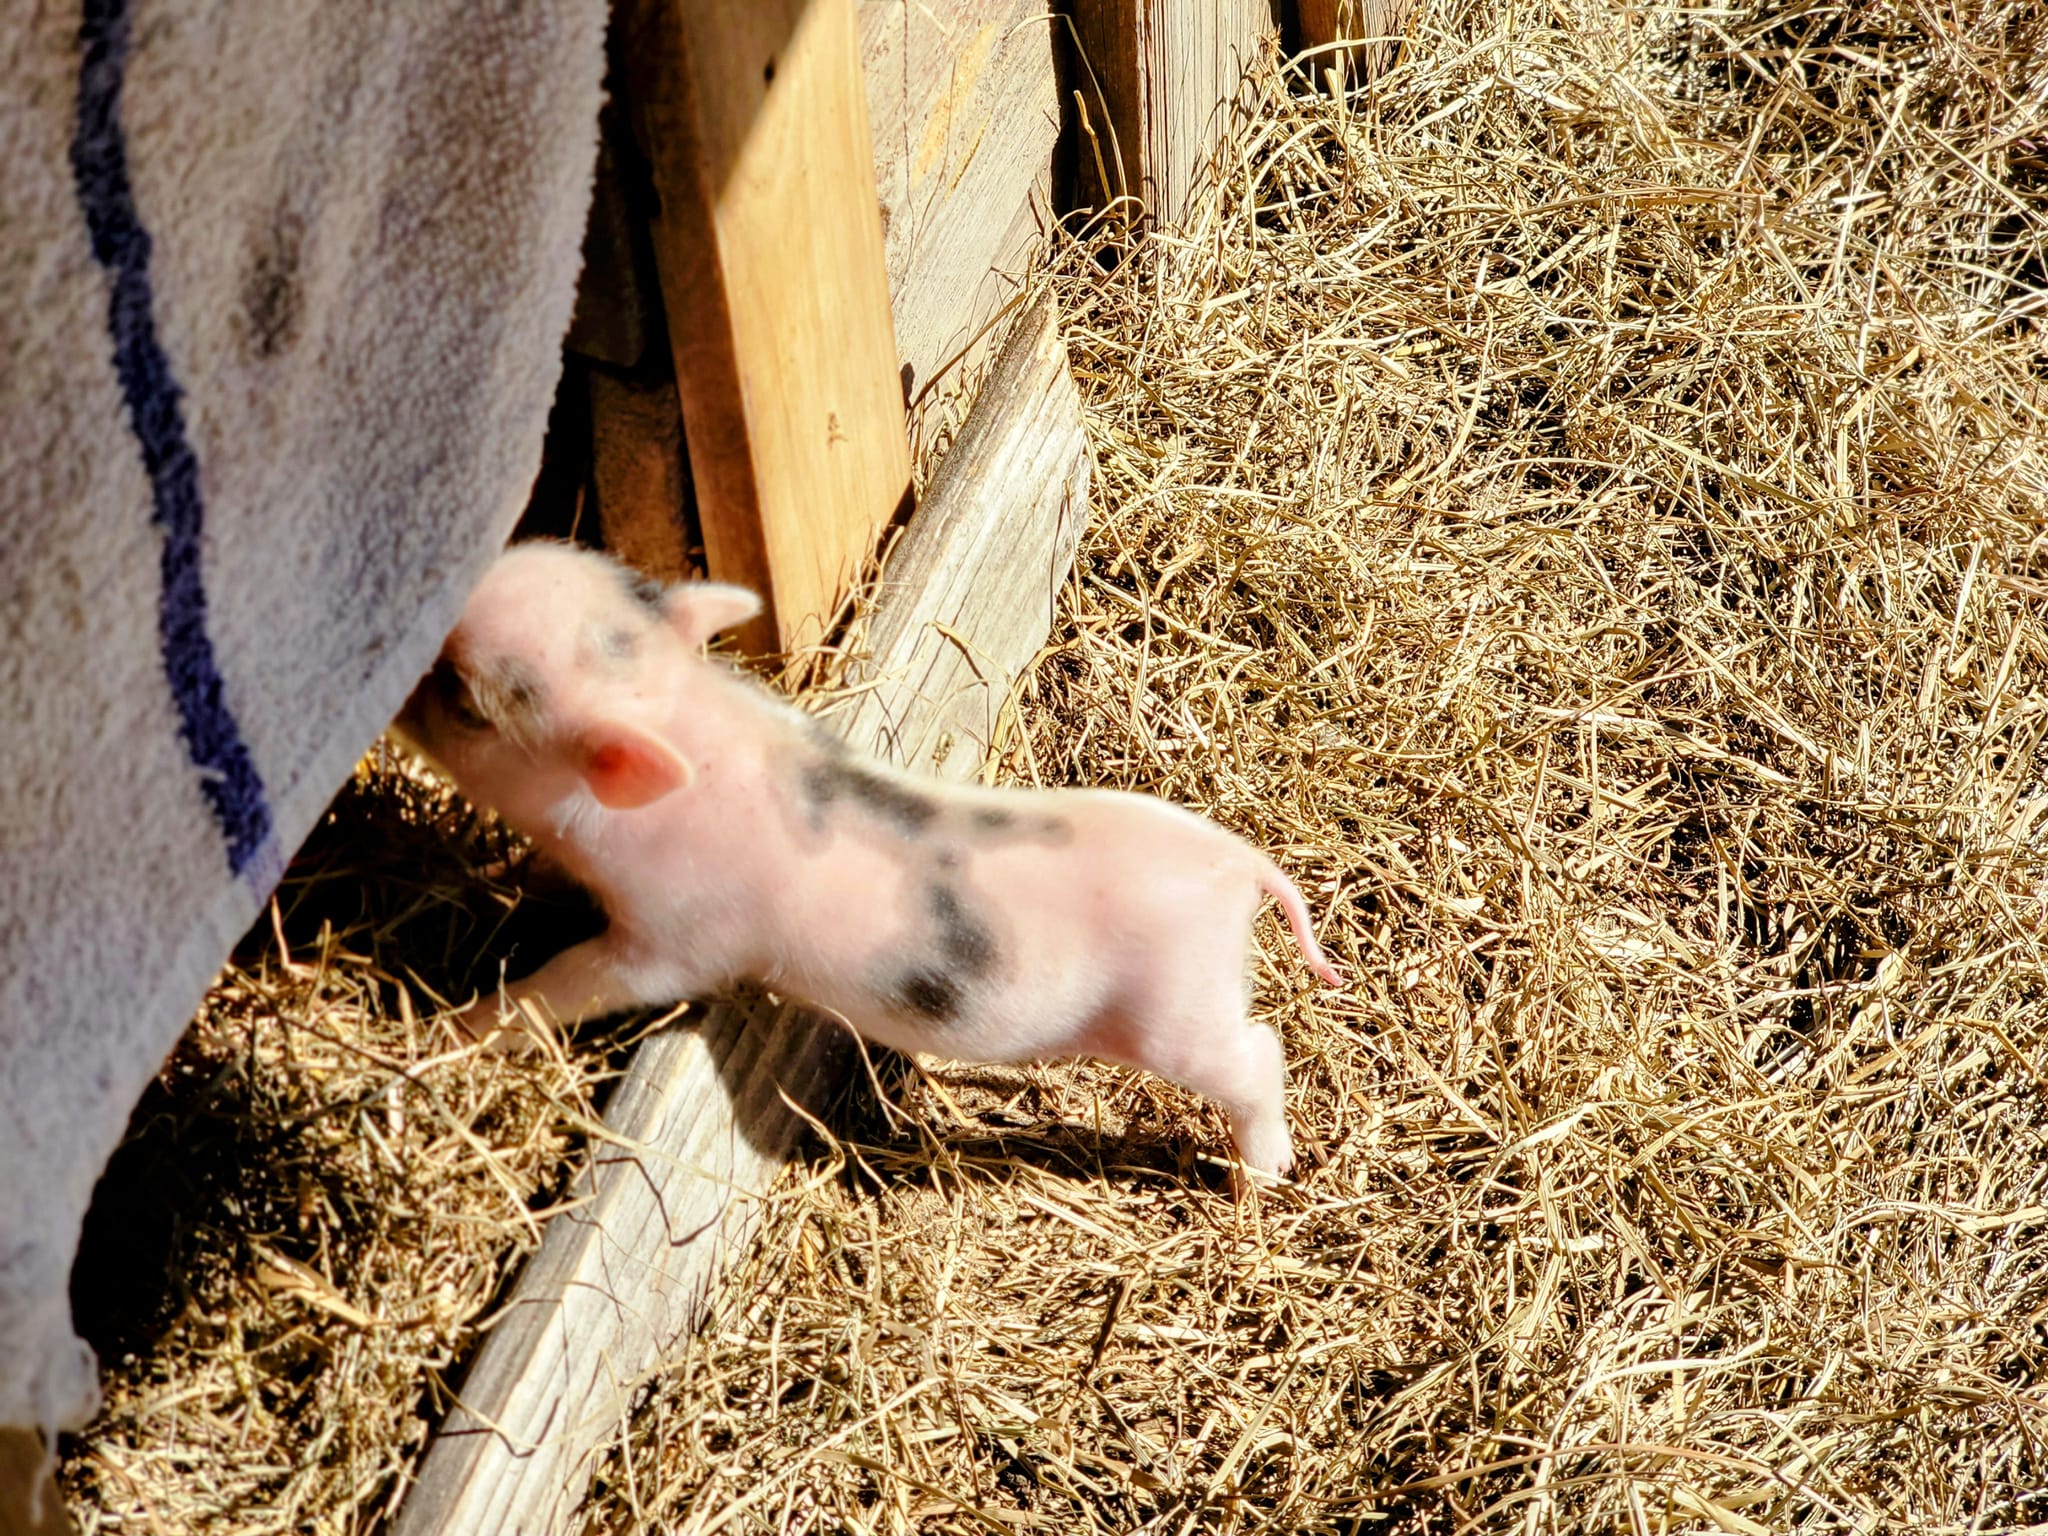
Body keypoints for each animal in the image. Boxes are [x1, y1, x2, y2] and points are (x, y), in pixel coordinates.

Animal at [393, 542, 1345, 1184]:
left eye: (466, 699)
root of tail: (1237, 865)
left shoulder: (674, 940)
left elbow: (572, 982)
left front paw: (449, 1030)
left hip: (1176, 1015)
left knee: (1257, 1055)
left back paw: (1257, 1179)